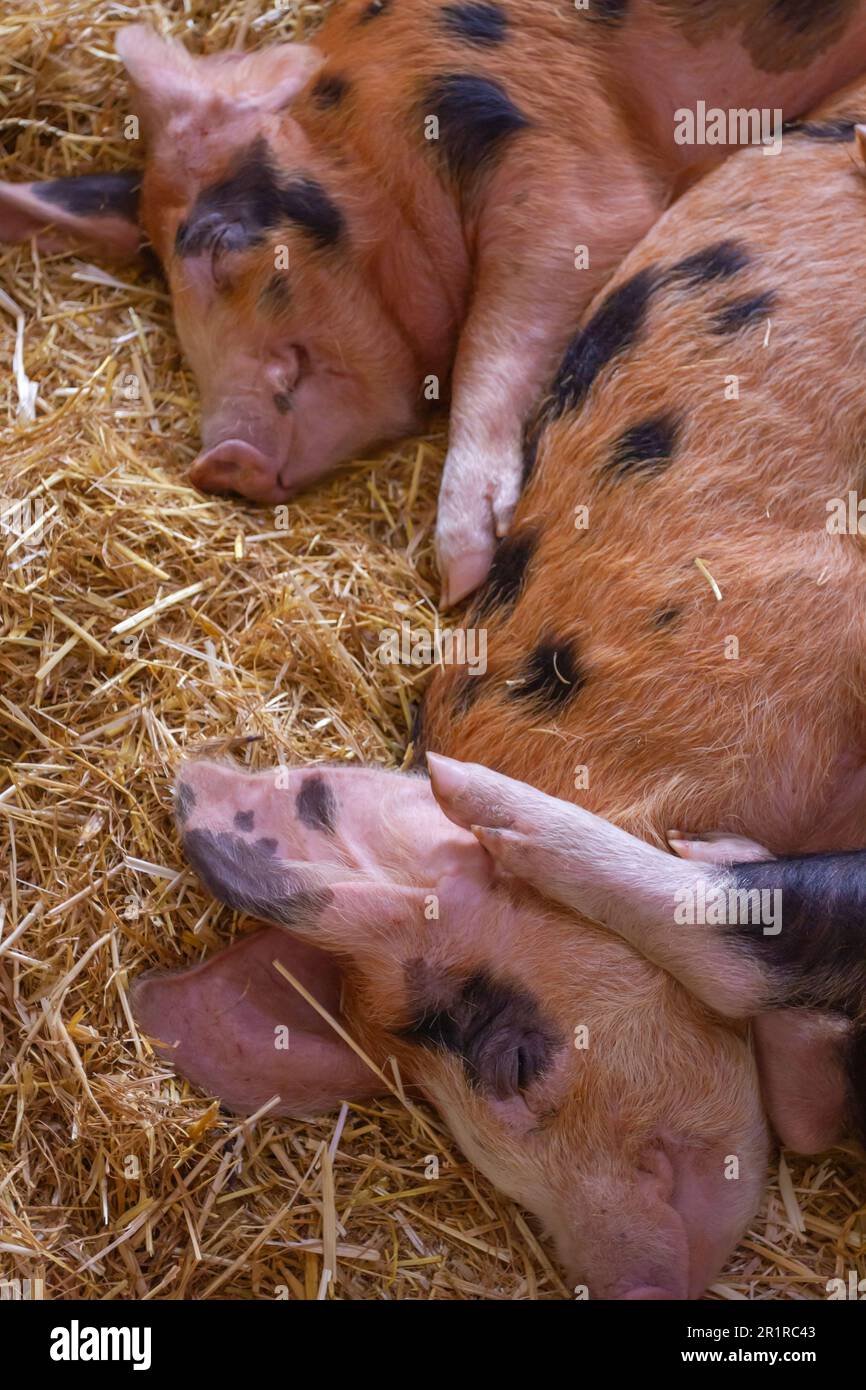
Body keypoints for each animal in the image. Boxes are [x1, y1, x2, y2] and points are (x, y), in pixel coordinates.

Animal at [6, 2, 866, 605]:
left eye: (220, 239)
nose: (218, 461)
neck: (368, 124)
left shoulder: (566, 161)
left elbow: (496, 336)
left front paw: (462, 575)